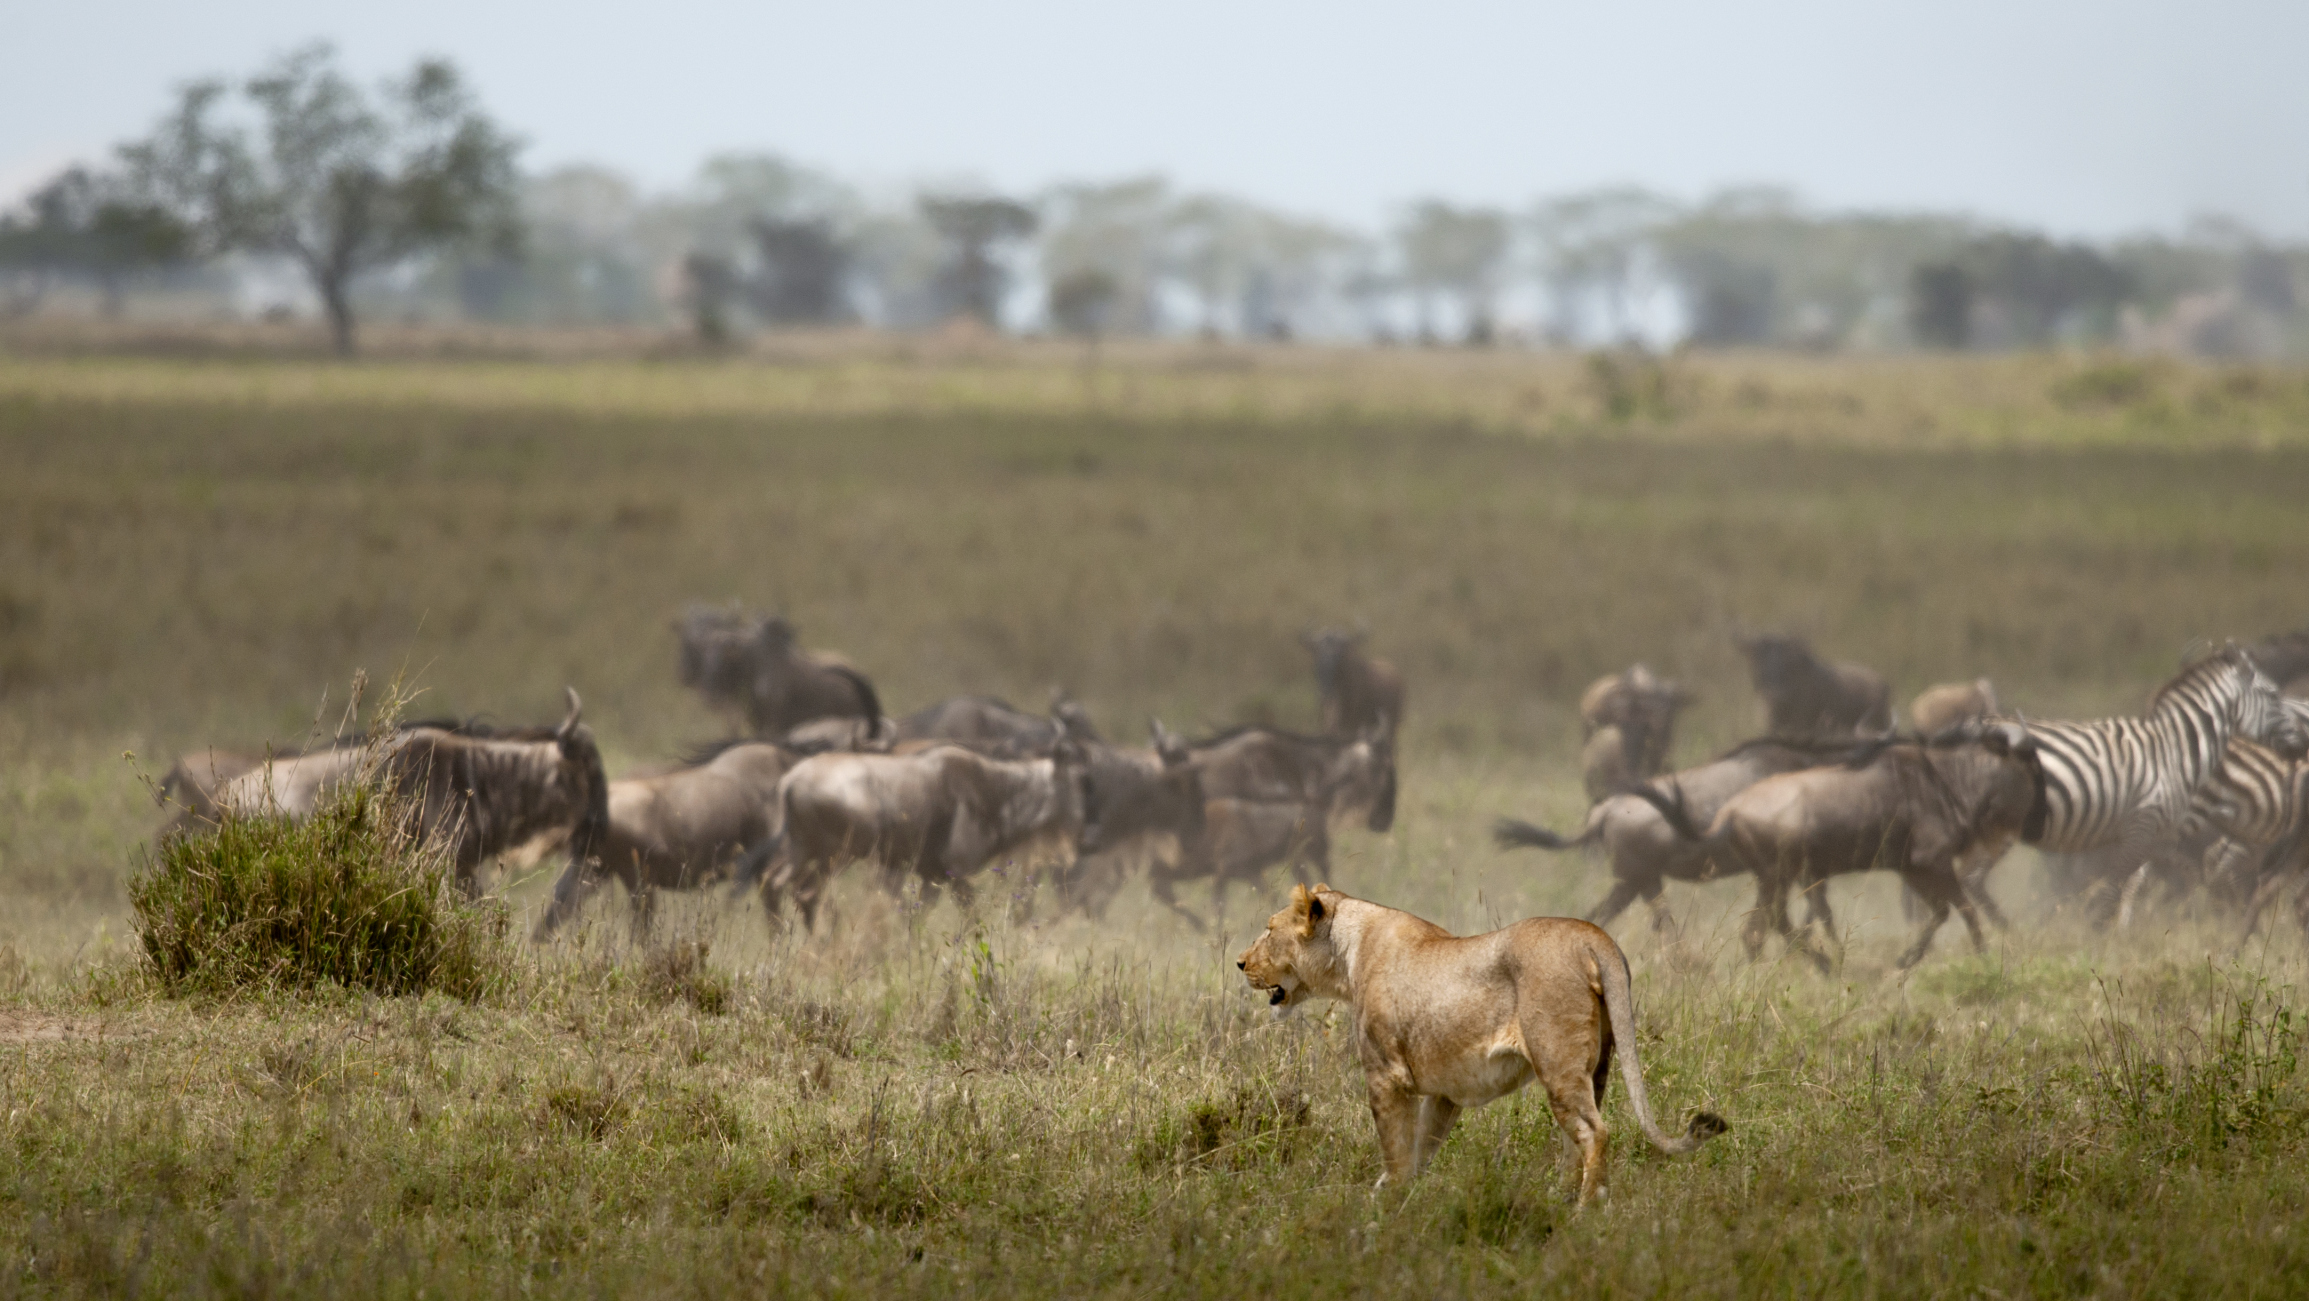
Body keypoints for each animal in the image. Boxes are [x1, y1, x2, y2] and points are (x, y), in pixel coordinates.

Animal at [1236, 883, 1726, 1204]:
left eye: (1269, 929)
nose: (1240, 962)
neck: (1348, 954)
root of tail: (1594, 935)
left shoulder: (1385, 1076)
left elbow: (1395, 1146)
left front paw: (1386, 1204)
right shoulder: (1445, 1091)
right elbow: (1422, 1147)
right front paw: (1404, 1198)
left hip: (1557, 1062)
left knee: (1595, 1132)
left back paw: (1585, 1209)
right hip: (1598, 1066)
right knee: (1579, 1137)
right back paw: (1562, 1197)